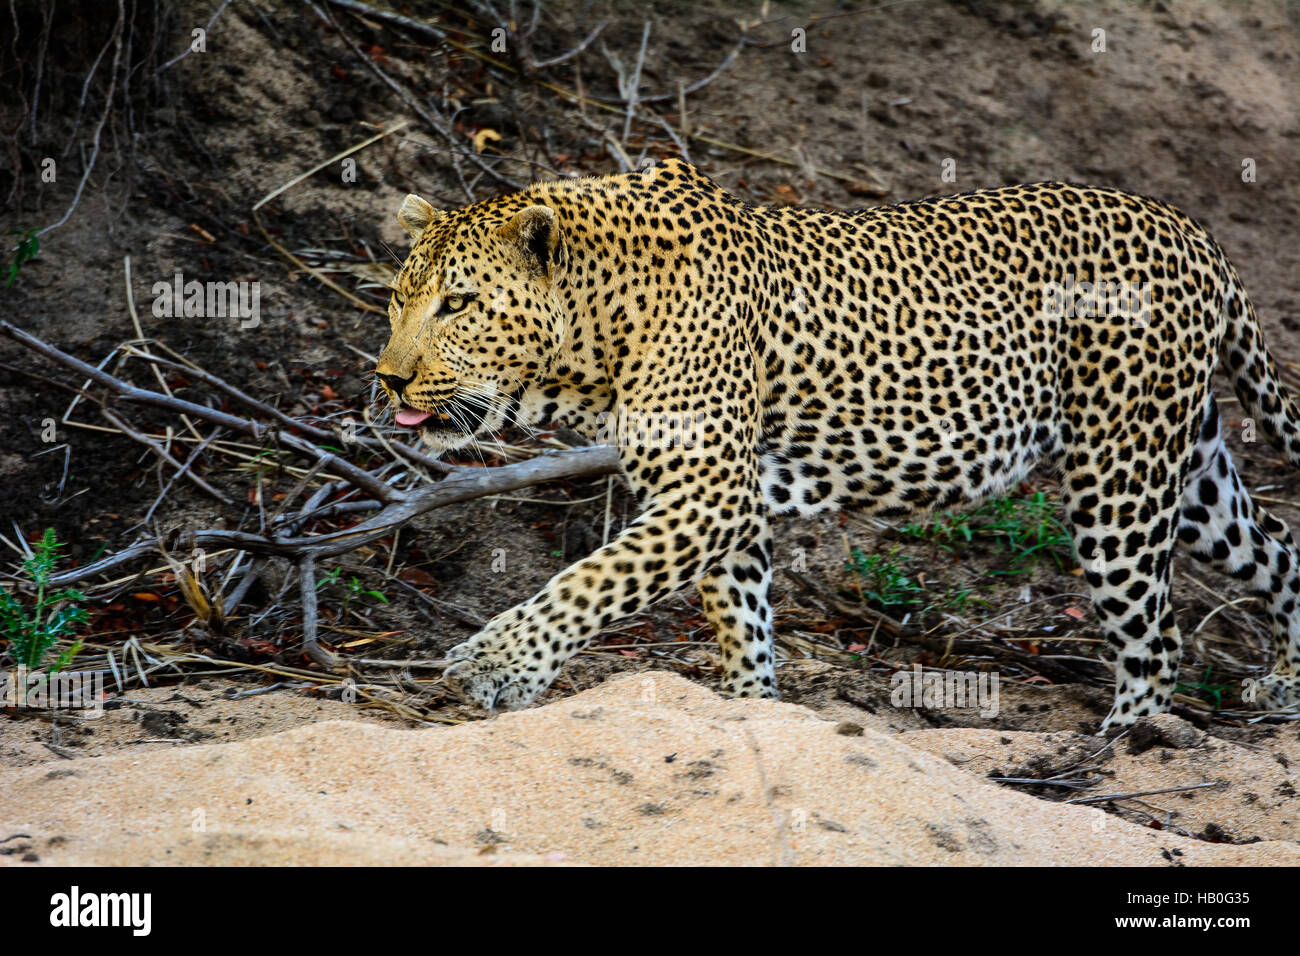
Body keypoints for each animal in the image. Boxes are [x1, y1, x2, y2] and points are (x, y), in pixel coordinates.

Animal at [375, 157, 1300, 729]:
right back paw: (1284, 682)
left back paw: (1114, 750)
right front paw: (751, 708)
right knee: (1280, 549)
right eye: (396, 297)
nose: (387, 379)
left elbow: (591, 581)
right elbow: (740, 616)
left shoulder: (710, 491)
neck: (598, 328)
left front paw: (496, 666)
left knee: (1157, 643)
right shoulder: (725, 498)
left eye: (458, 304)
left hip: (1121, 480)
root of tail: (1192, 228)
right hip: (1188, 474)